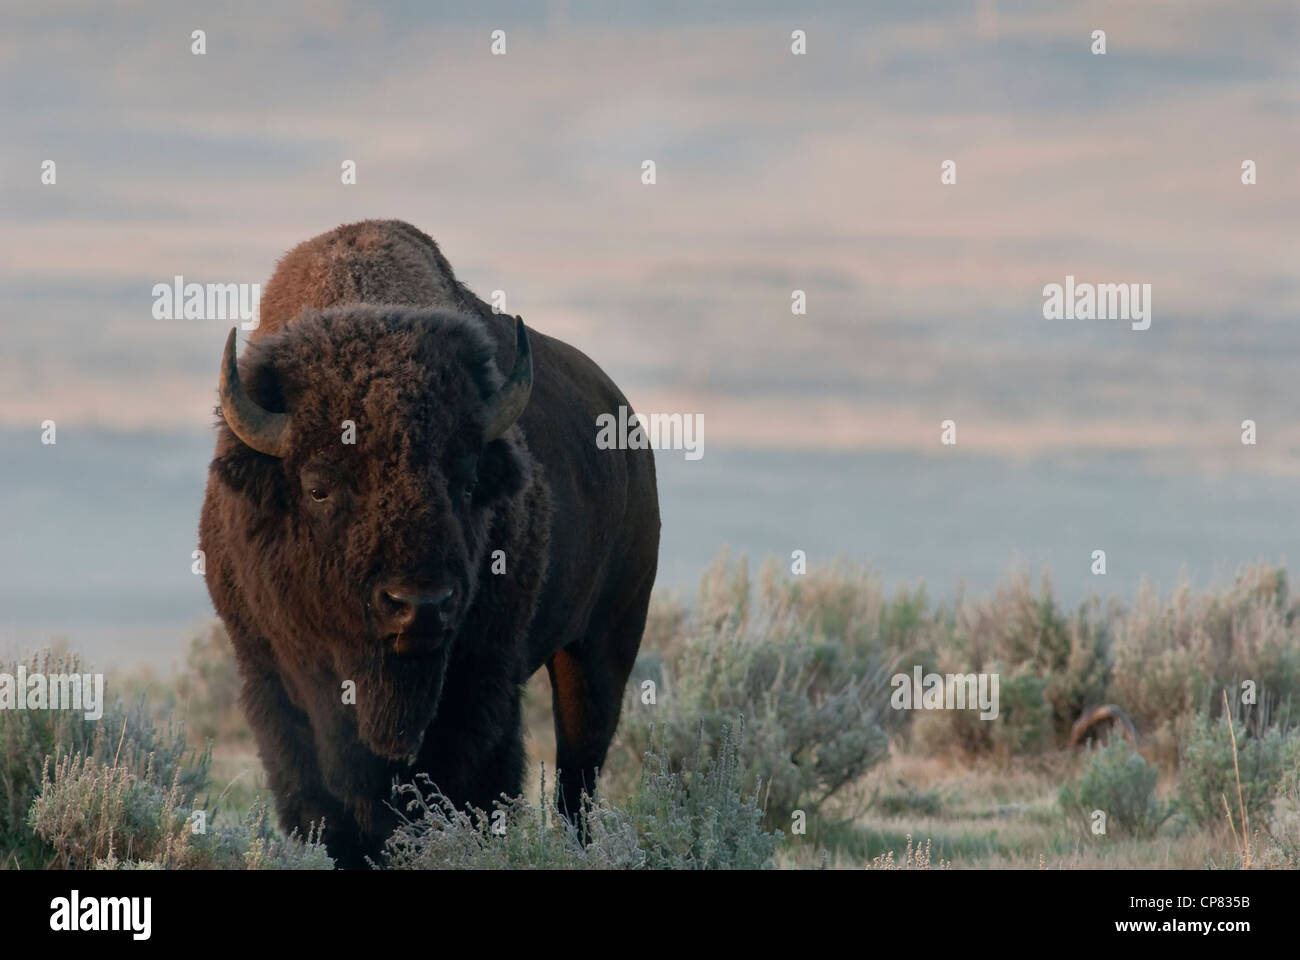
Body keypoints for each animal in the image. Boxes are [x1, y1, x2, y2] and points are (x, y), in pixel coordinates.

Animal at [198, 220, 660, 868]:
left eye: (466, 482)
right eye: (317, 486)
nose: (419, 605)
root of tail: (628, 427)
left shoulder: (481, 682)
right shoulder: (274, 680)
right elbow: (324, 802)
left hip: (604, 642)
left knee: (579, 776)